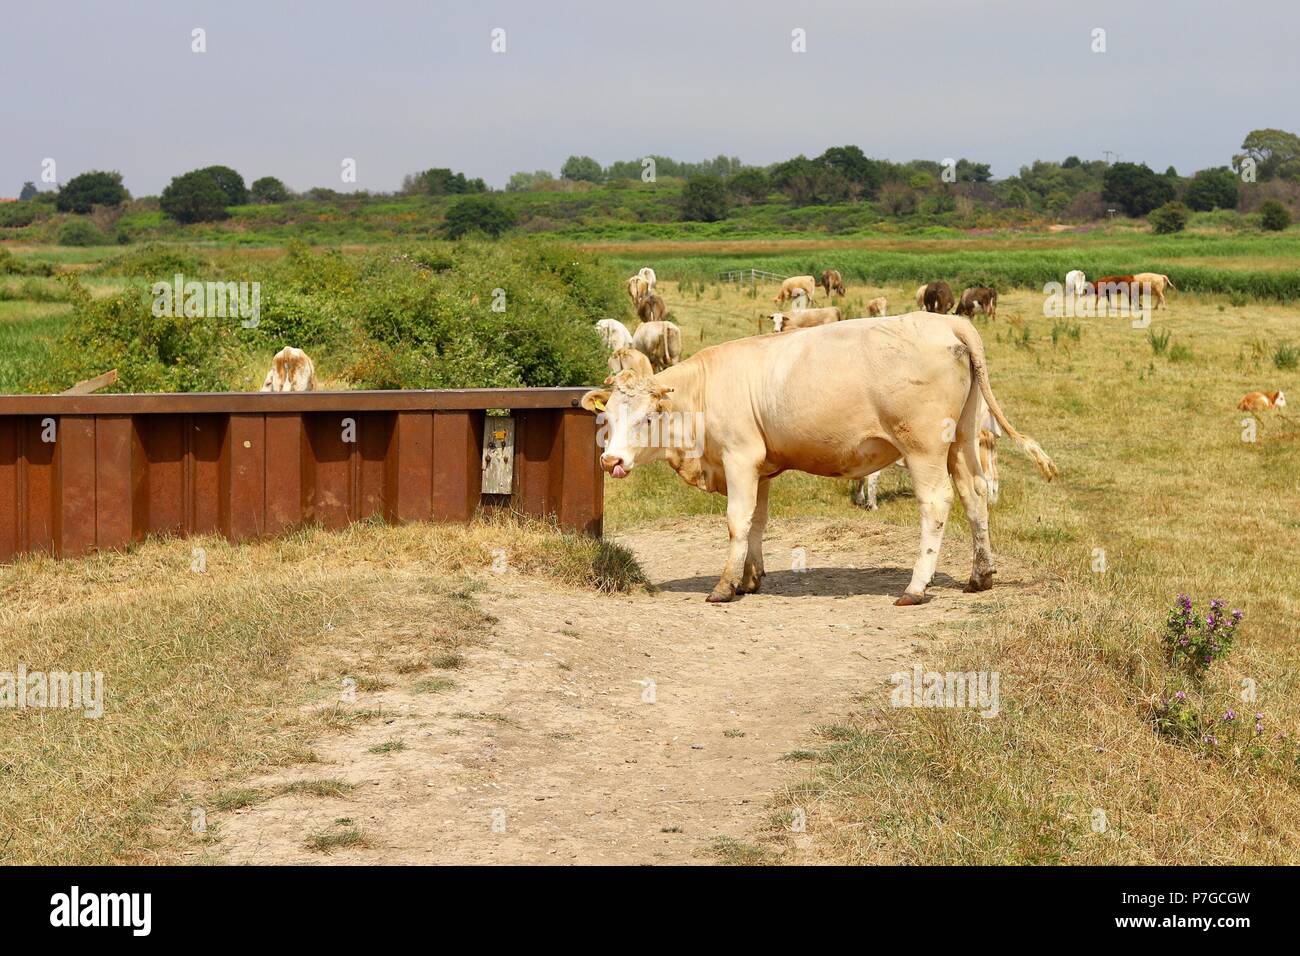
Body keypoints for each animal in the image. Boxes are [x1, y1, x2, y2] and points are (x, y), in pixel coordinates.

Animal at [582, 313, 1057, 605]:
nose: (610, 461)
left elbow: (737, 521)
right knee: (975, 495)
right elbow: (757, 522)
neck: (704, 390)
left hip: (923, 447)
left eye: (646, 419)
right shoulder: (762, 467)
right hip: (961, 440)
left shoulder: (740, 459)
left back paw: (916, 587)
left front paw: (725, 585)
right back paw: (981, 575)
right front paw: (751, 579)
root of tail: (947, 321)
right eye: (608, 417)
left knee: (937, 504)